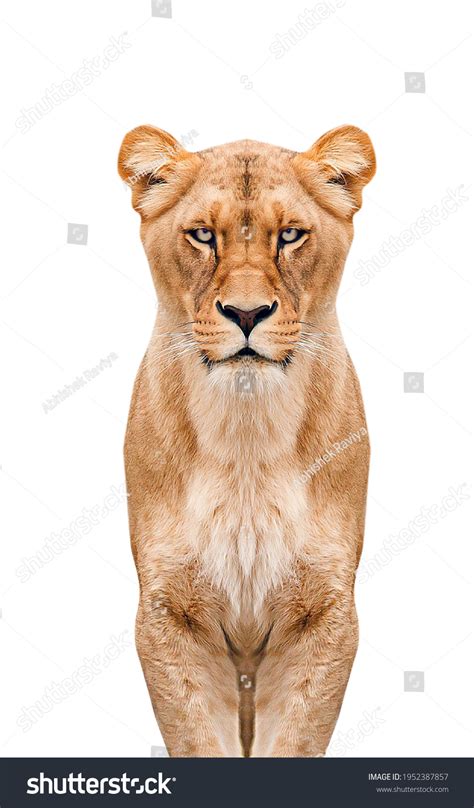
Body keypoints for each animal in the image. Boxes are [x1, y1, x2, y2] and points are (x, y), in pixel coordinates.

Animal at [118, 123, 376, 757]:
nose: (247, 312)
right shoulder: (170, 612)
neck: (246, 434)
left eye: (290, 235)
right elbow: (196, 738)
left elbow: (296, 740)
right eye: (203, 235)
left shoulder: (324, 611)